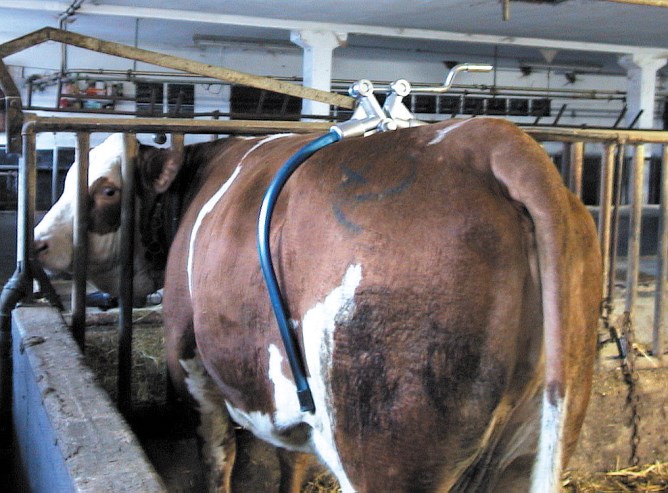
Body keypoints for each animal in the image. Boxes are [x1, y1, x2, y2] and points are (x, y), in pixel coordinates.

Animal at [33, 118, 602, 493]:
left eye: (107, 189)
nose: (37, 242)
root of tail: (487, 141)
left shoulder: (191, 363)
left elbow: (217, 458)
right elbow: (292, 464)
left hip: (382, 443)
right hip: (527, 442)